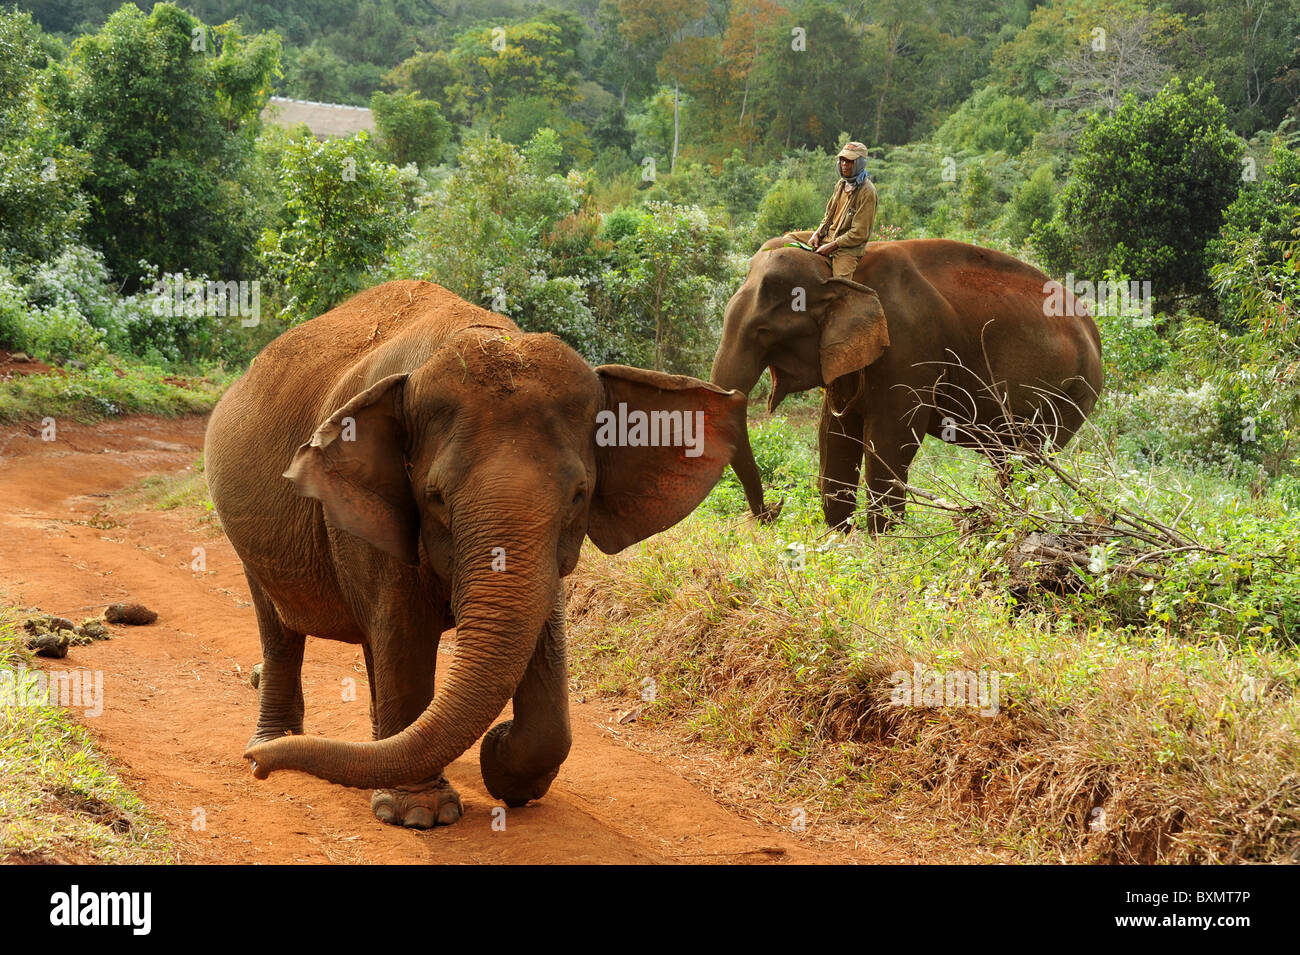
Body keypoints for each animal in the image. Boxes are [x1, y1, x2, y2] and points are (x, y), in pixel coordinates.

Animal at [204, 280, 746, 828]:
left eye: (579, 495)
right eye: (437, 497)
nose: (259, 767)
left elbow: (542, 636)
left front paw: (504, 769)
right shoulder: (365, 513)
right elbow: (402, 629)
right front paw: (422, 814)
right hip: (243, 530)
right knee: (280, 627)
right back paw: (275, 738)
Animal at [711, 233, 1103, 532]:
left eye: (763, 330)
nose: (773, 510)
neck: (835, 268)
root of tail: (1094, 331)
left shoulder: (908, 348)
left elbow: (891, 440)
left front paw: (882, 542)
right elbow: (835, 436)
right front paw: (840, 536)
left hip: (1070, 394)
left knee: (1028, 461)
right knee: (1008, 462)